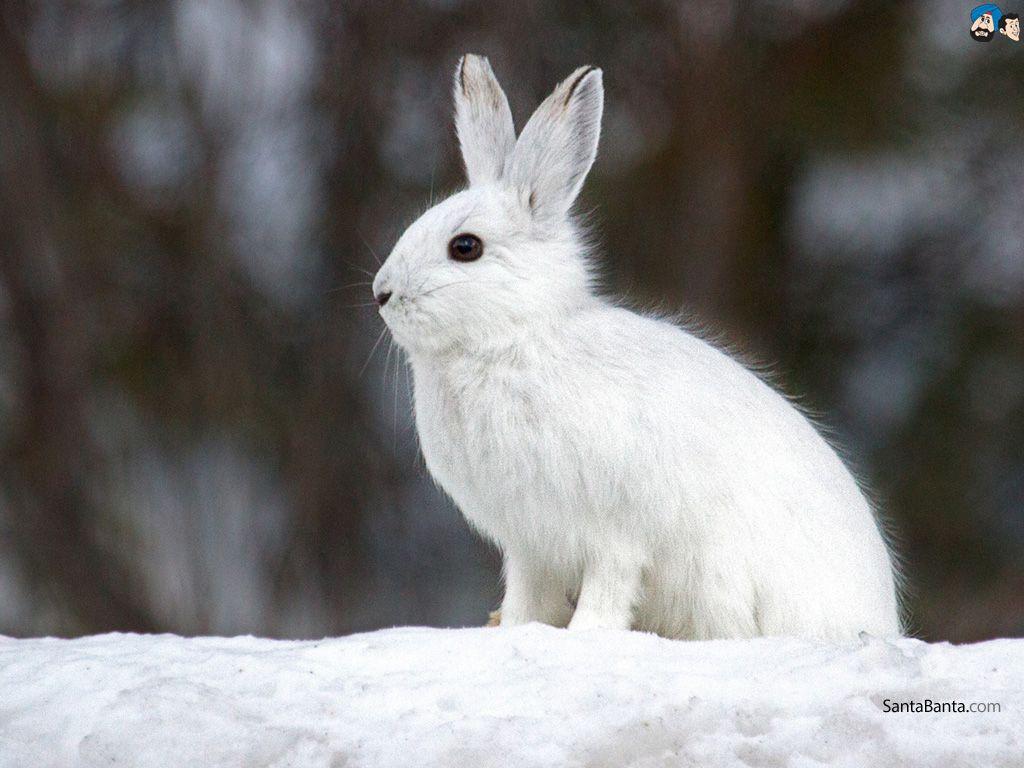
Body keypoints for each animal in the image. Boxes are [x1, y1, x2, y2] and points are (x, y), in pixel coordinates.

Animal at [371, 54, 902, 640]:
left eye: (465, 247)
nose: (381, 293)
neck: (512, 339)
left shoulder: (614, 534)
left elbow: (609, 586)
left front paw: (586, 634)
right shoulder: (531, 547)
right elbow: (526, 599)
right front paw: (513, 629)